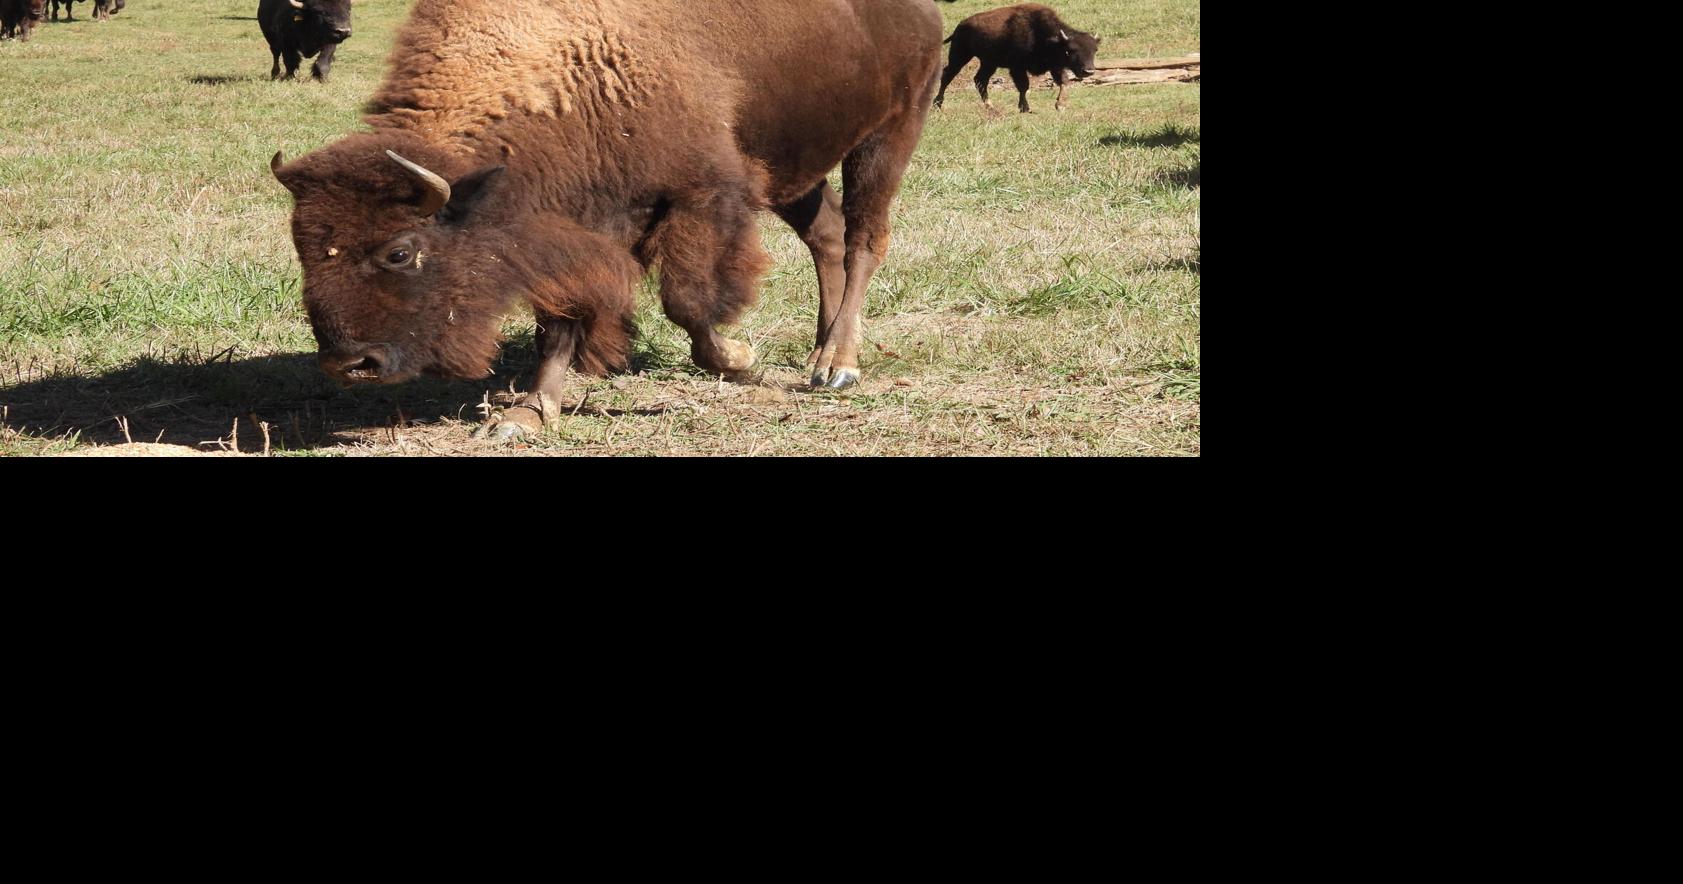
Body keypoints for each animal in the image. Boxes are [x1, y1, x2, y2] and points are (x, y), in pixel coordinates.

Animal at [270, 0, 945, 437]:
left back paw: (838, 366)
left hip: (889, 136)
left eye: (400, 251)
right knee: (825, 237)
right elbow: (561, 320)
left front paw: (738, 357)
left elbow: (688, 303)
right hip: (794, 169)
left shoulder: (701, 196)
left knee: (863, 240)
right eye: (302, 245)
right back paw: (818, 351)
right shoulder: (574, 228)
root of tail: (918, 10)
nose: (349, 364)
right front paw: (527, 415)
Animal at [935, 3, 1101, 114]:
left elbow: (1063, 82)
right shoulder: (1017, 68)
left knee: (980, 80)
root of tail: (960, 26)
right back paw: (938, 104)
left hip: (989, 63)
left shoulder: (1055, 67)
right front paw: (1024, 108)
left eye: (1094, 50)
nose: (1088, 71)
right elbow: (1023, 86)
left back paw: (991, 107)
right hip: (960, 55)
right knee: (948, 75)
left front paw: (1060, 105)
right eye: (1070, 51)